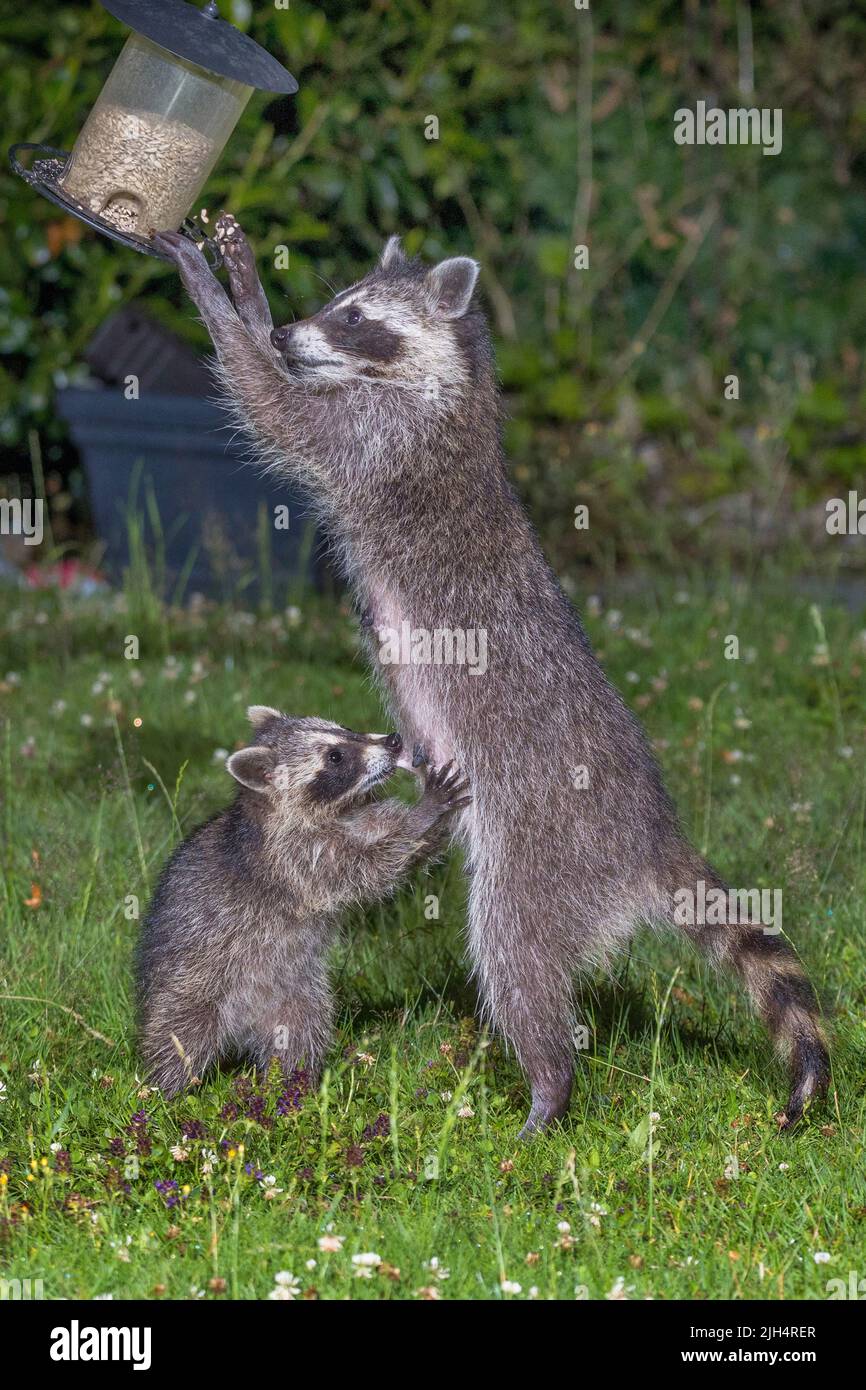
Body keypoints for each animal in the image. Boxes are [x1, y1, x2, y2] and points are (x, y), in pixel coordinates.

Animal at [136, 706, 468, 1096]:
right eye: (335, 757)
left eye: (346, 728)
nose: (393, 741)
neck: (334, 814)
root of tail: (242, 1030)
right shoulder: (294, 860)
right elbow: (370, 868)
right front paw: (425, 813)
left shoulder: (357, 822)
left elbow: (398, 845)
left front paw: (436, 827)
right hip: (192, 982)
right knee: (179, 1037)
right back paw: (165, 1089)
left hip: (296, 995)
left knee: (301, 1034)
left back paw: (295, 1083)